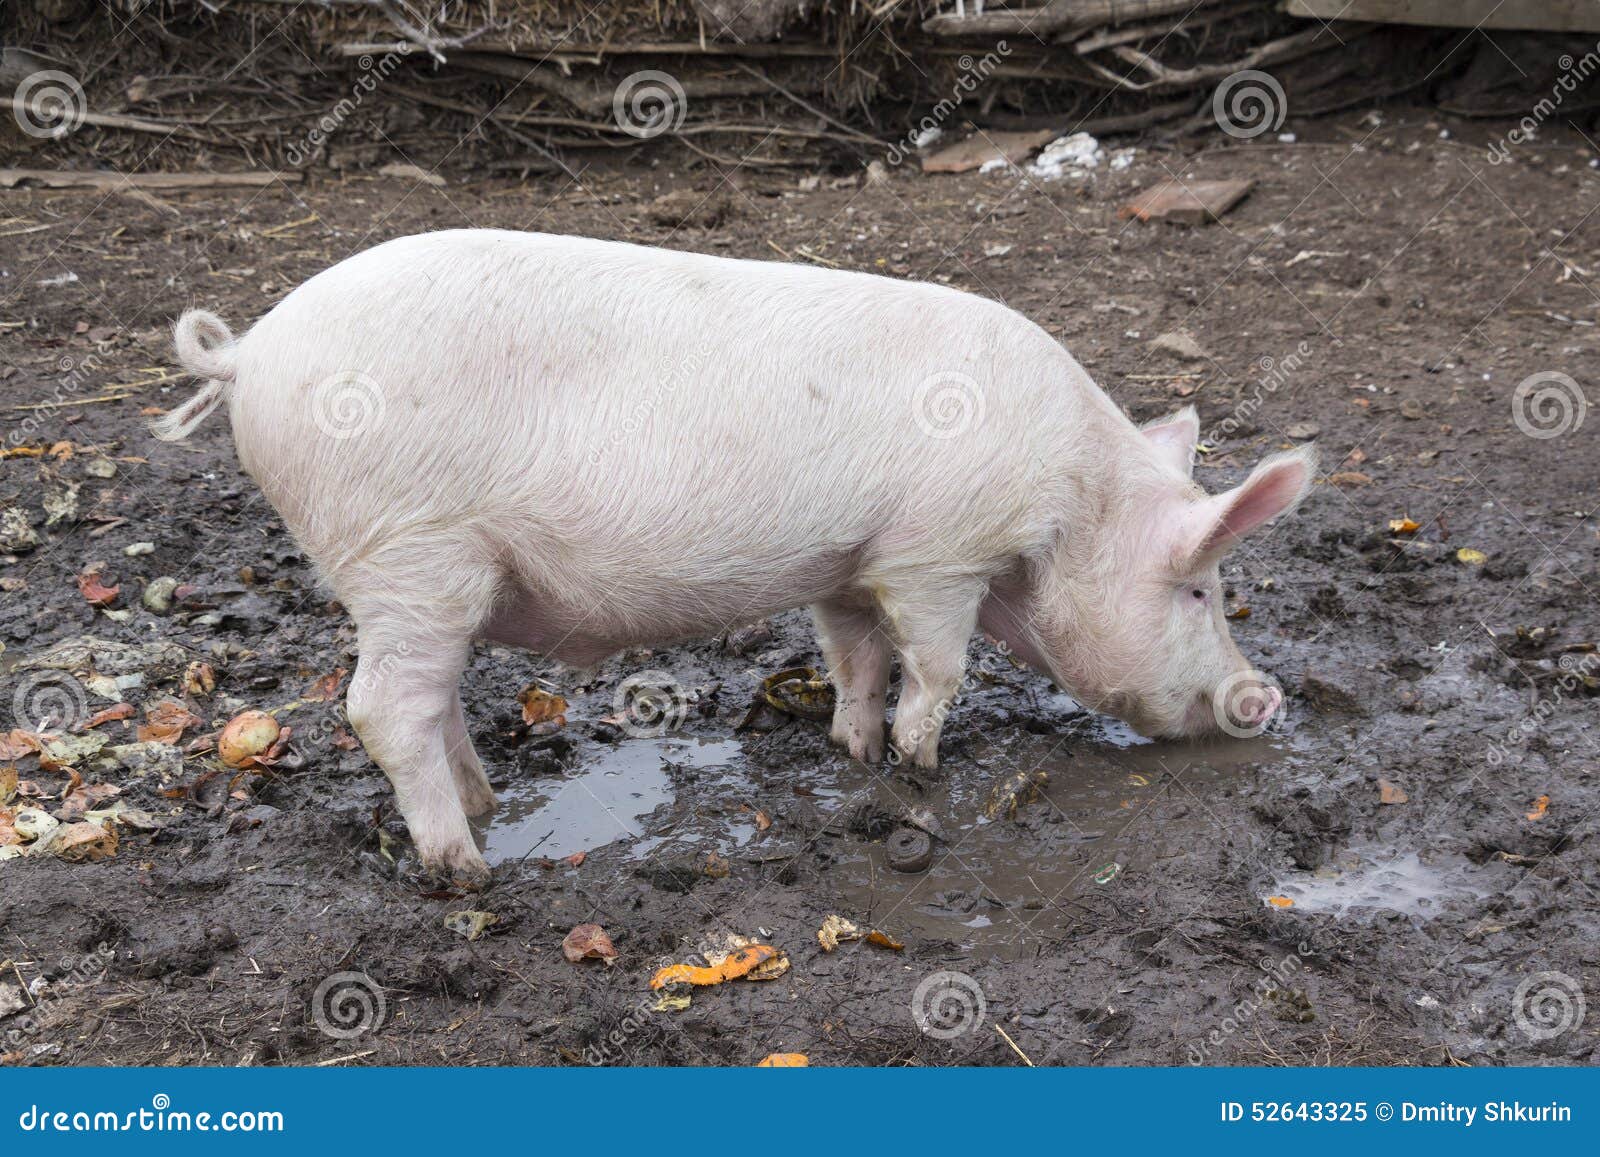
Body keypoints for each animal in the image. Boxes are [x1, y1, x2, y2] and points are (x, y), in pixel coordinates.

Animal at [154, 229, 1314, 886]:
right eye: (1201, 586)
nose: (1263, 697)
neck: (1071, 506)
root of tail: (249, 352)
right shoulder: (937, 553)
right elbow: (937, 666)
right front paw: (923, 770)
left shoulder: (849, 563)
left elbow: (856, 658)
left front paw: (854, 753)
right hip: (410, 550)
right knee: (380, 707)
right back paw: (466, 868)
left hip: (422, 576)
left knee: (428, 701)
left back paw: (484, 806)